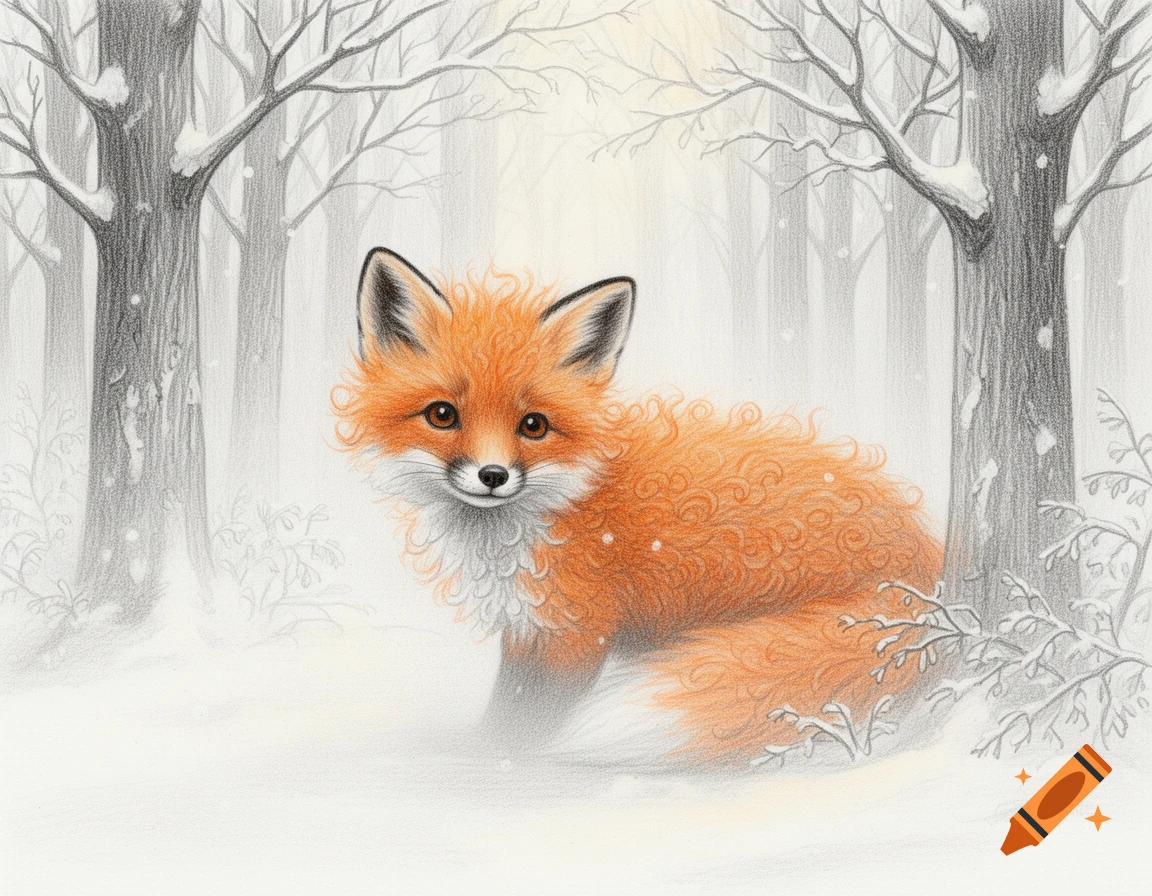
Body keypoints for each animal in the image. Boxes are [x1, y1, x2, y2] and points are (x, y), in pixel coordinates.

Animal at [335, 248, 943, 764]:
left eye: (534, 425)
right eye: (442, 415)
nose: (492, 476)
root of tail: (926, 565)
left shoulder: (576, 630)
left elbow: (525, 719)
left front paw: (499, 756)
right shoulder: (529, 624)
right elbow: (508, 703)